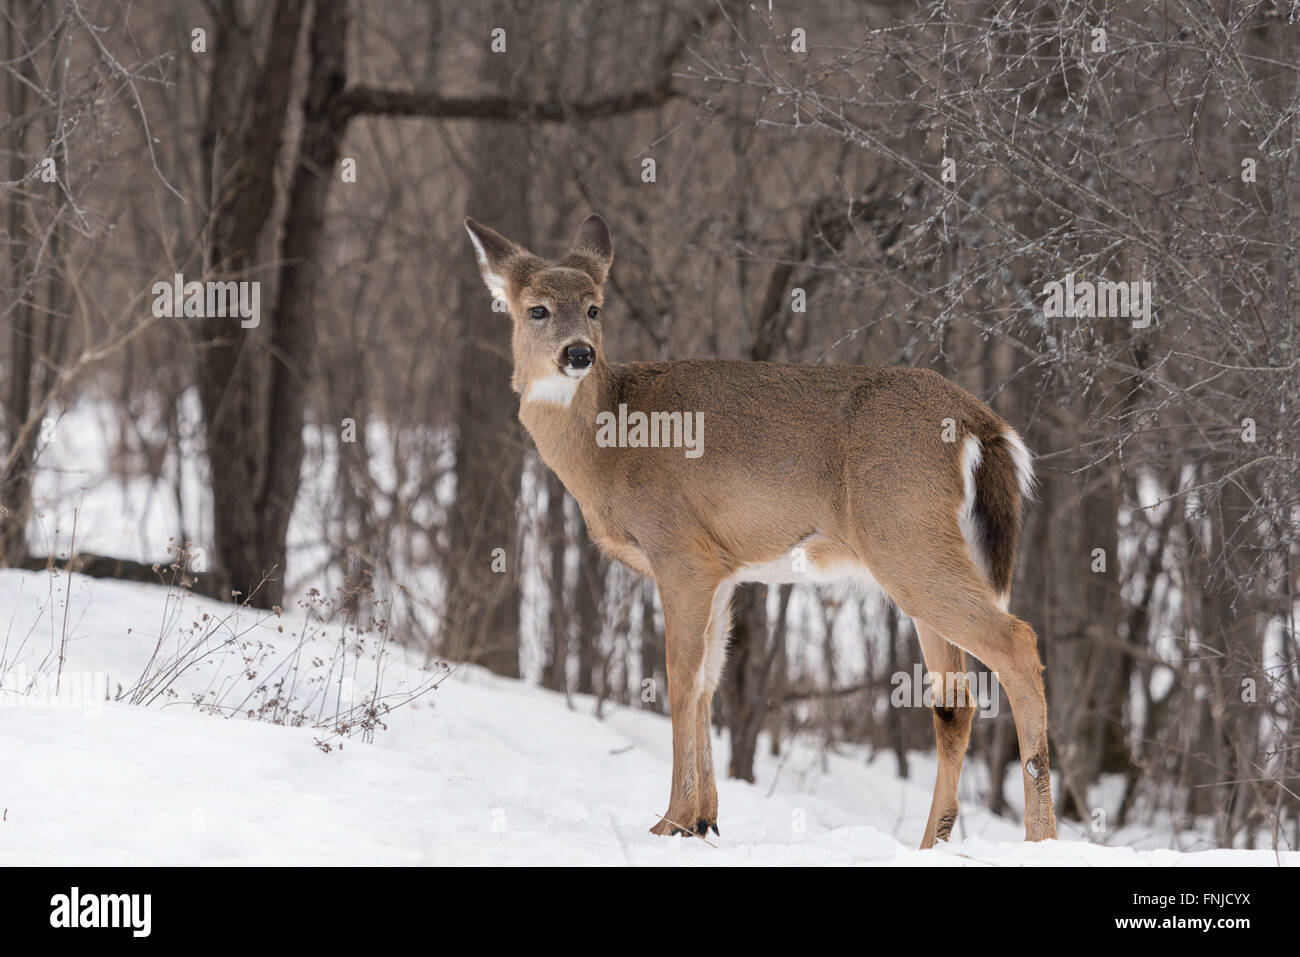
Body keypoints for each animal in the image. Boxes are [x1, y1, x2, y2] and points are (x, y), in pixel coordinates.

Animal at [464, 213, 1058, 847]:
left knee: (1016, 643)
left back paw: (1039, 837)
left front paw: (669, 822)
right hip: (927, 553)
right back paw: (931, 844)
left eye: (595, 307)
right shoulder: (724, 568)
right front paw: (703, 819)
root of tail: (983, 425)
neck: (608, 449)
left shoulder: (680, 550)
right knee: (954, 701)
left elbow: (679, 677)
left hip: (906, 540)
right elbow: (708, 680)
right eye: (537, 309)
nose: (579, 353)